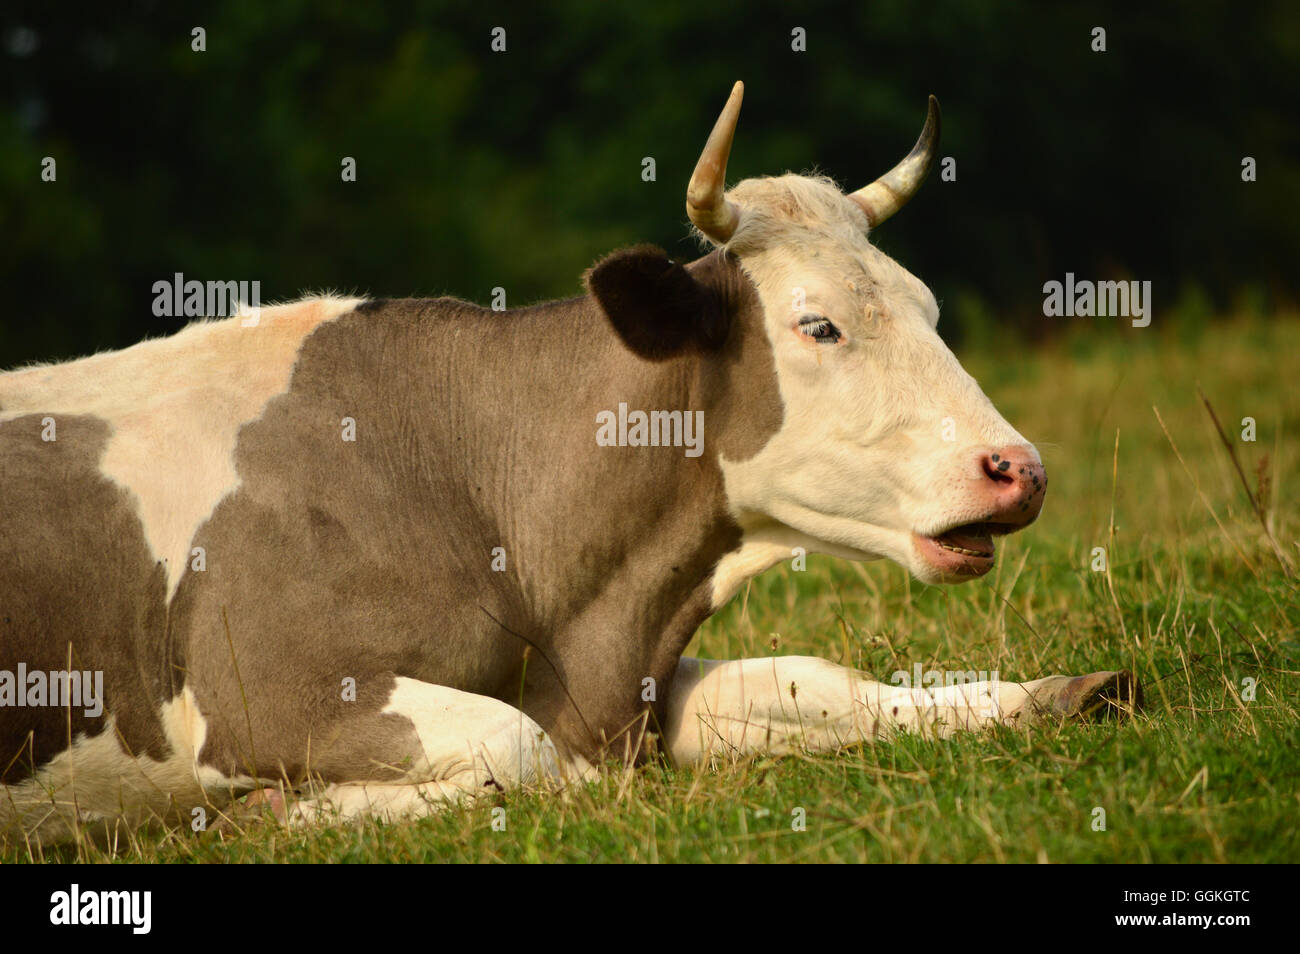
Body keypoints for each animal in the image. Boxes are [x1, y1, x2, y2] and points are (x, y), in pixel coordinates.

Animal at [0, 82, 1139, 845]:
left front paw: (1061, 692)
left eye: (928, 308)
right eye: (817, 325)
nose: (1017, 467)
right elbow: (524, 755)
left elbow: (814, 681)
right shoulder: (269, 691)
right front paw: (278, 816)